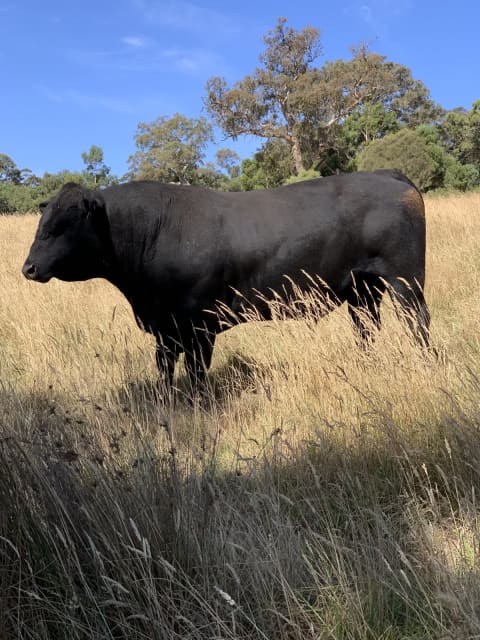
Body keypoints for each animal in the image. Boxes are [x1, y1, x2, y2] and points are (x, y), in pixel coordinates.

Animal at [22, 170, 430, 396]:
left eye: (63, 225)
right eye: (42, 223)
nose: (29, 267)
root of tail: (387, 174)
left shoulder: (200, 326)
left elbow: (197, 373)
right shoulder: (165, 329)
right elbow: (165, 370)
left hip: (406, 281)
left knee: (418, 324)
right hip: (363, 290)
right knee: (367, 329)